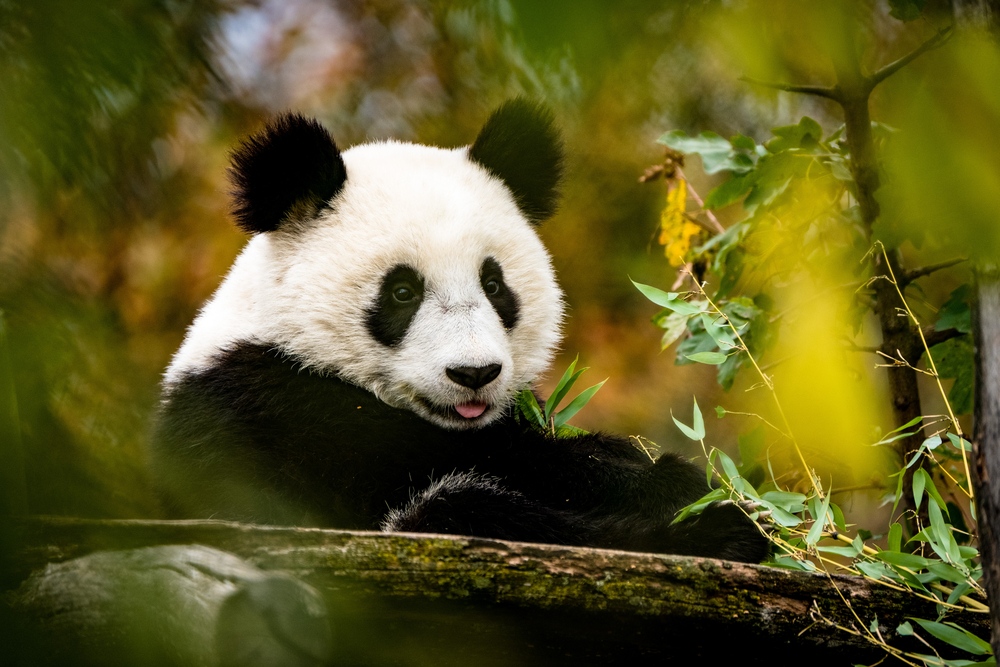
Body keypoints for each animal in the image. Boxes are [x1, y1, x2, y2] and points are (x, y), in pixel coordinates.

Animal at [152, 99, 769, 563]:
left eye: (494, 285)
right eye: (402, 292)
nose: (475, 374)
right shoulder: (274, 409)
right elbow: (495, 462)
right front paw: (673, 487)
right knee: (462, 510)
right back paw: (712, 536)